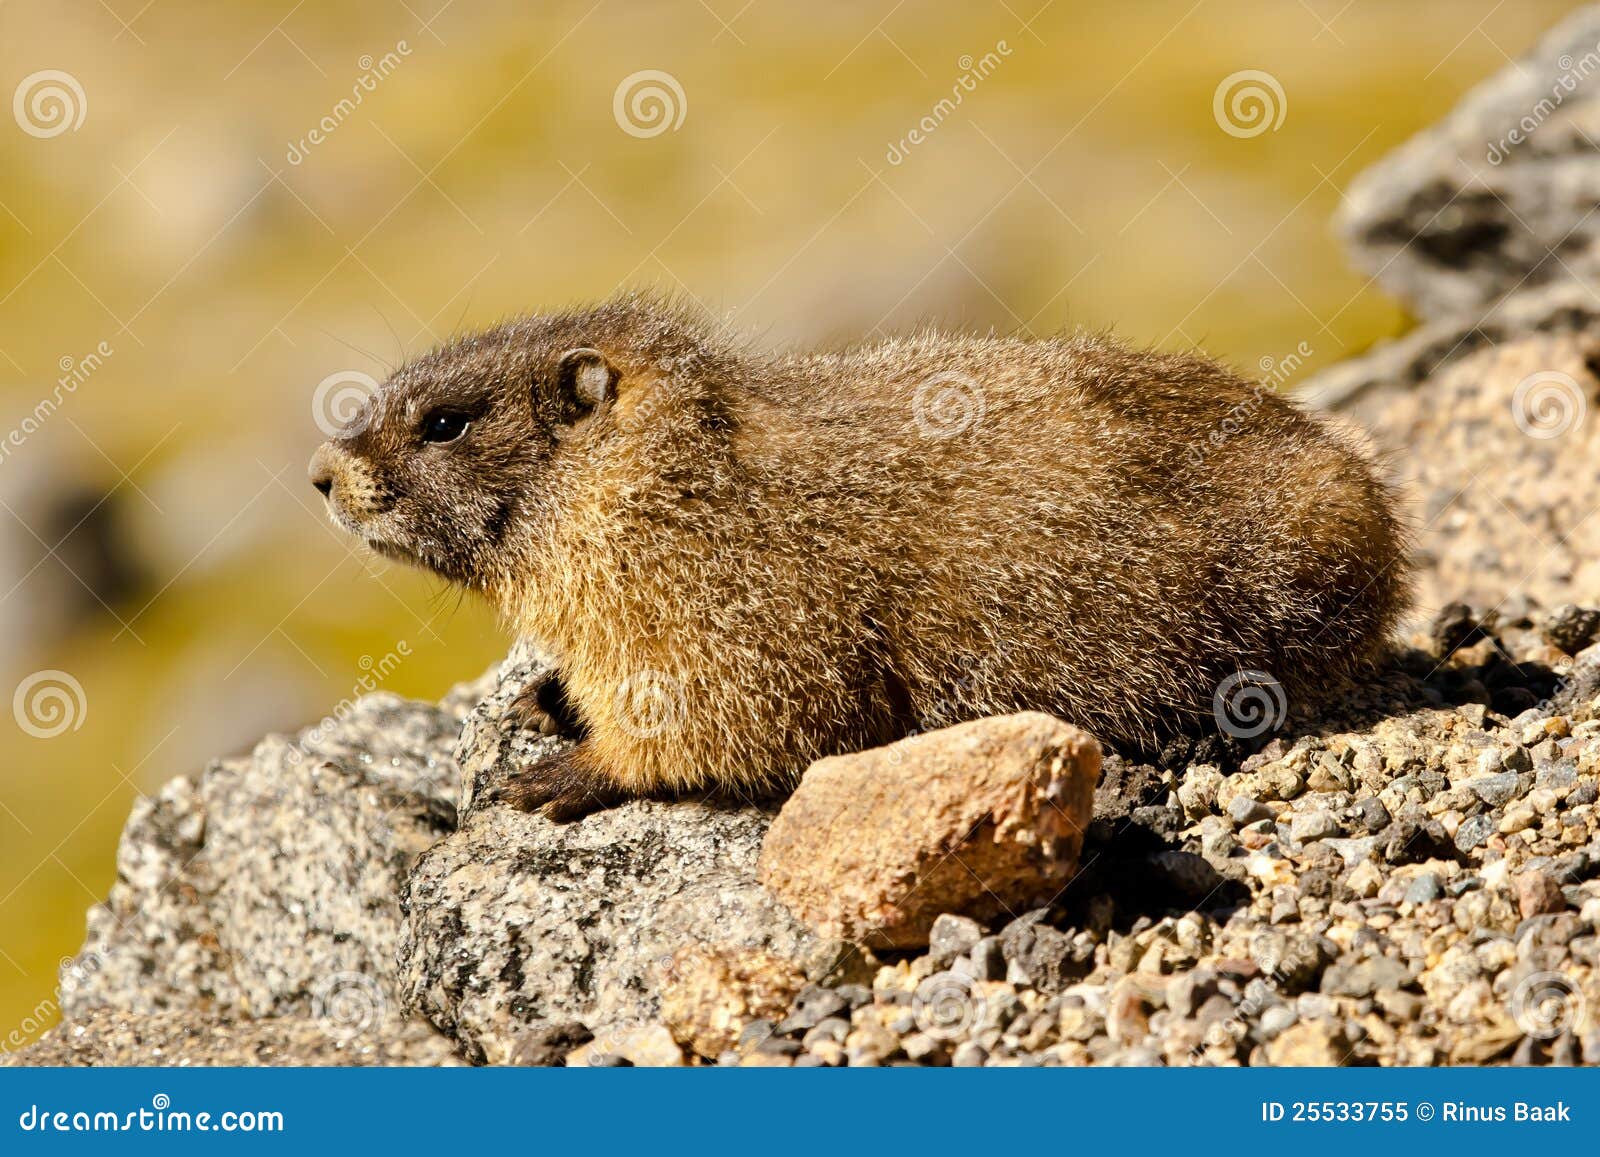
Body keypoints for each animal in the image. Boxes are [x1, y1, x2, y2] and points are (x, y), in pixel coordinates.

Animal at [309, 293, 1409, 821]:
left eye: (443, 423)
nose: (319, 473)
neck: (650, 473)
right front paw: (546, 696)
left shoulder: (704, 578)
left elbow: (744, 698)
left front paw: (566, 770)